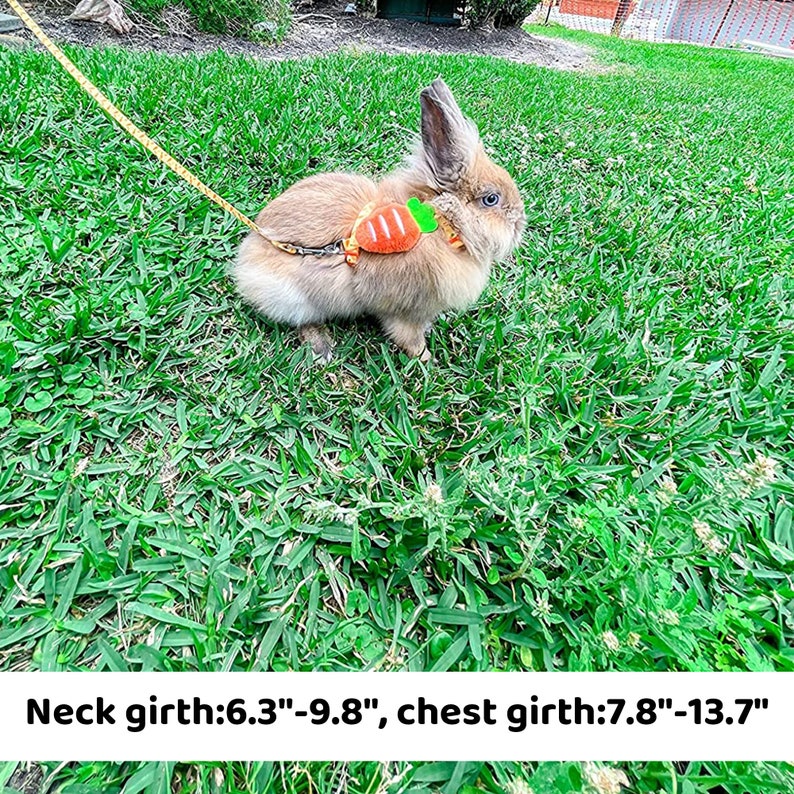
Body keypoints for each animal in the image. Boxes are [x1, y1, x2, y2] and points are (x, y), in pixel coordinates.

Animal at [233, 77, 525, 362]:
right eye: (491, 199)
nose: (520, 222)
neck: (439, 223)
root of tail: (248, 253)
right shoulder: (405, 312)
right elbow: (409, 338)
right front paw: (427, 360)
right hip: (295, 299)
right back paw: (322, 348)